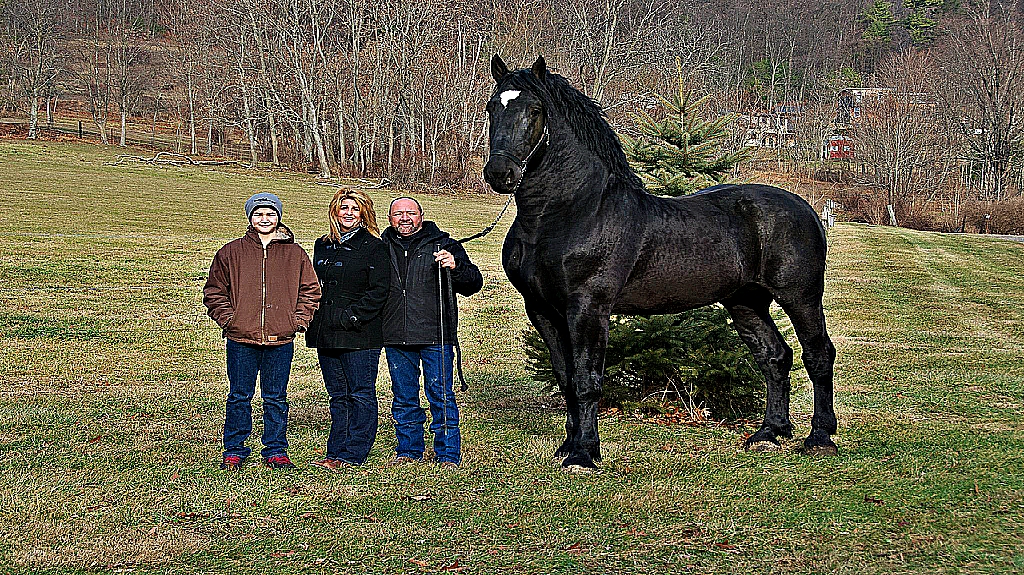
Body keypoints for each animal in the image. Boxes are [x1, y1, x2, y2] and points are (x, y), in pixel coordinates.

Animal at [483, 55, 838, 469]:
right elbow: (567, 379)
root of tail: (807, 209)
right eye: (492, 108)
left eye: (535, 110)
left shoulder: (588, 308)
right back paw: (769, 434)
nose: (500, 173)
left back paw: (820, 438)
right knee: (775, 357)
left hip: (800, 296)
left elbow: (588, 380)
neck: (570, 213)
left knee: (818, 355)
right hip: (746, 301)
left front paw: (585, 454)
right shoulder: (541, 309)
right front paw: (569, 446)